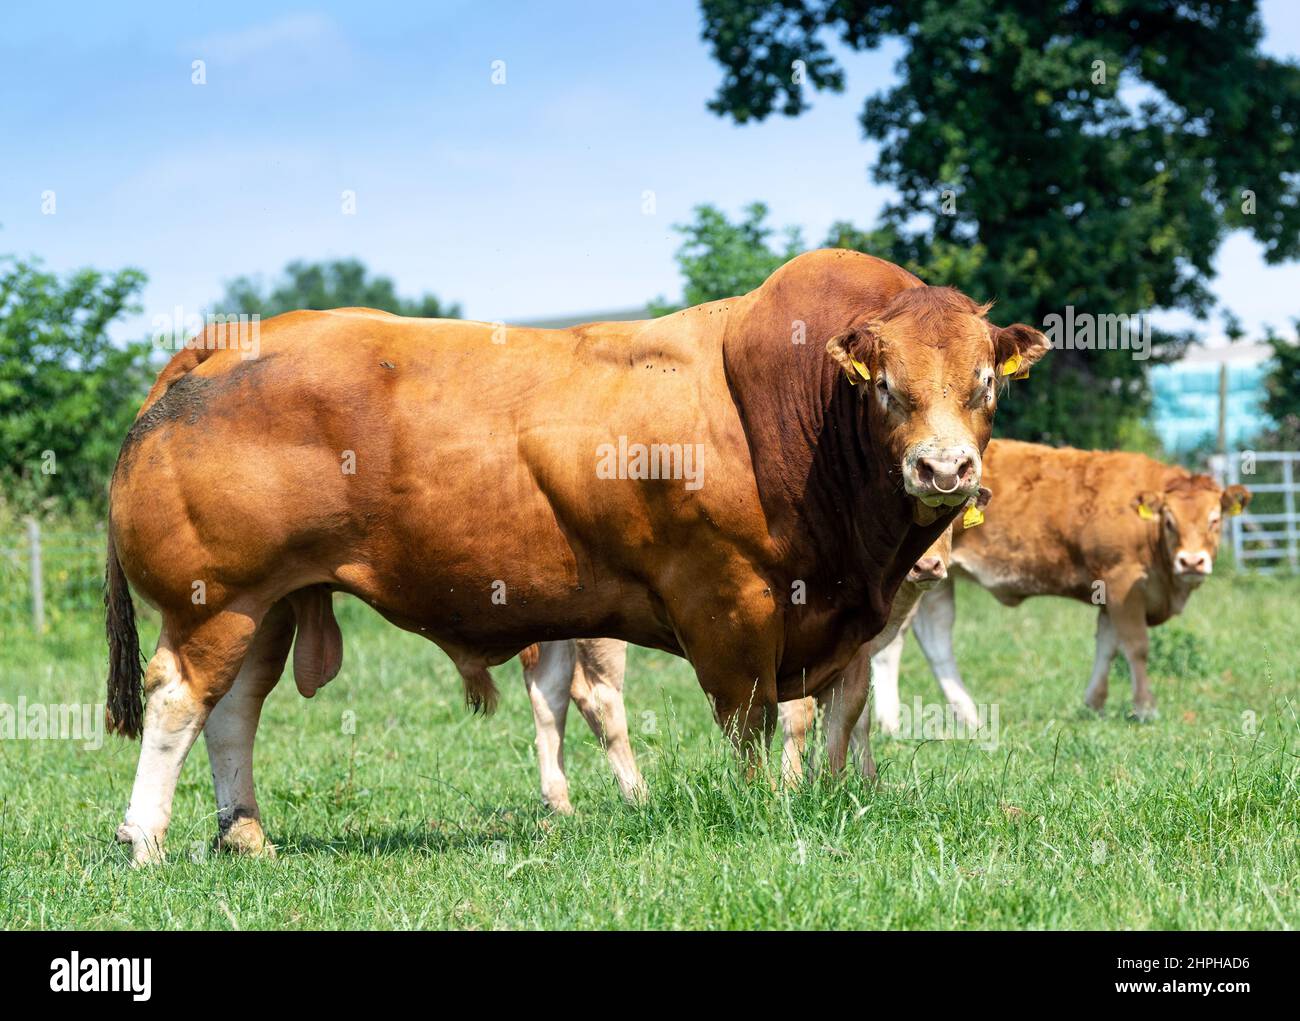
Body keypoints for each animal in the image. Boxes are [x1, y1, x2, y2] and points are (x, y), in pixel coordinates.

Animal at [104, 249, 1049, 863]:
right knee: (180, 700)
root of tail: (232, 338)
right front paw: (763, 809)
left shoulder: (846, 615)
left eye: (984, 383)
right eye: (886, 385)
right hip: (213, 599)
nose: (943, 468)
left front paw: (833, 794)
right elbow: (752, 719)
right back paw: (145, 837)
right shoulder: (733, 604)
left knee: (235, 710)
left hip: (263, 602)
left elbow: (840, 713)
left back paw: (245, 833)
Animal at [870, 439, 1252, 729]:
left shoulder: (1109, 591)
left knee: (936, 639)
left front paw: (1094, 704)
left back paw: (970, 718)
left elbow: (1107, 645)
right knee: (890, 643)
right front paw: (1145, 708)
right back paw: (890, 724)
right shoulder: (1122, 581)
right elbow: (1136, 646)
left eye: (1215, 520)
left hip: (935, 577)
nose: (1192, 561)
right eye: (1170, 521)